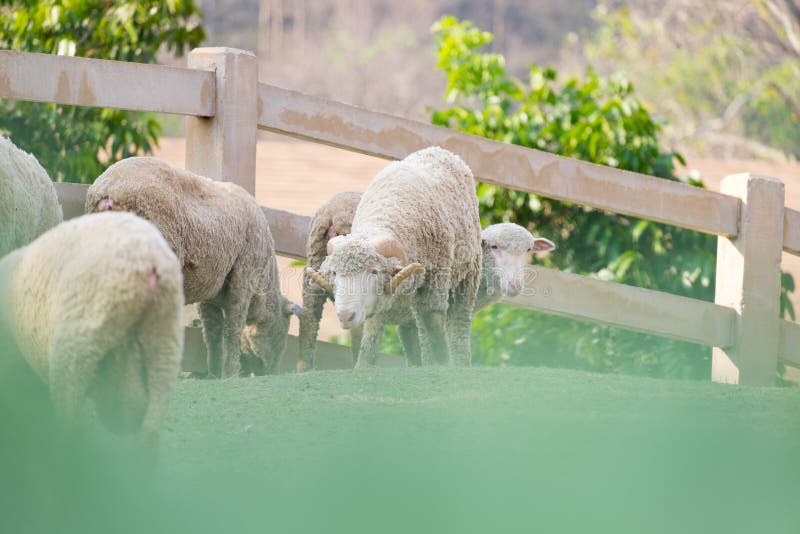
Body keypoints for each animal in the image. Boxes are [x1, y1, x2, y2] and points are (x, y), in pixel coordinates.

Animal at [85, 157, 298, 379]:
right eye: (284, 329)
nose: (272, 372)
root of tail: (108, 191)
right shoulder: (243, 276)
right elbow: (233, 327)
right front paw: (230, 373)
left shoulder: (211, 294)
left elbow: (212, 333)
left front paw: (214, 373)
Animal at [308, 146, 482, 367]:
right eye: (334, 274)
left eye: (374, 271)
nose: (346, 316)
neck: (386, 214)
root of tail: (439, 150)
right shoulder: (379, 298)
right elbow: (371, 336)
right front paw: (363, 366)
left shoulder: (435, 280)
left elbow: (434, 324)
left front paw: (443, 363)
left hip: (469, 274)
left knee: (459, 324)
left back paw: (460, 361)